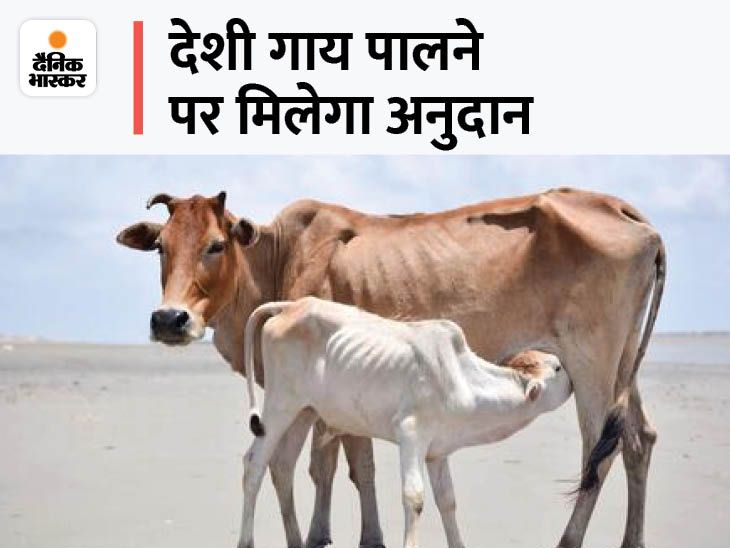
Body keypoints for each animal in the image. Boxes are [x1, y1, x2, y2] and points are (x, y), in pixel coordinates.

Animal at [238, 297, 574, 548]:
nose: (573, 381)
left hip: (304, 412)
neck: (462, 379)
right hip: (280, 405)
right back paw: (246, 541)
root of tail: (293, 305)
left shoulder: (438, 451)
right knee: (254, 464)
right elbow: (414, 498)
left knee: (282, 465)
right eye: (557, 368)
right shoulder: (411, 434)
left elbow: (447, 500)